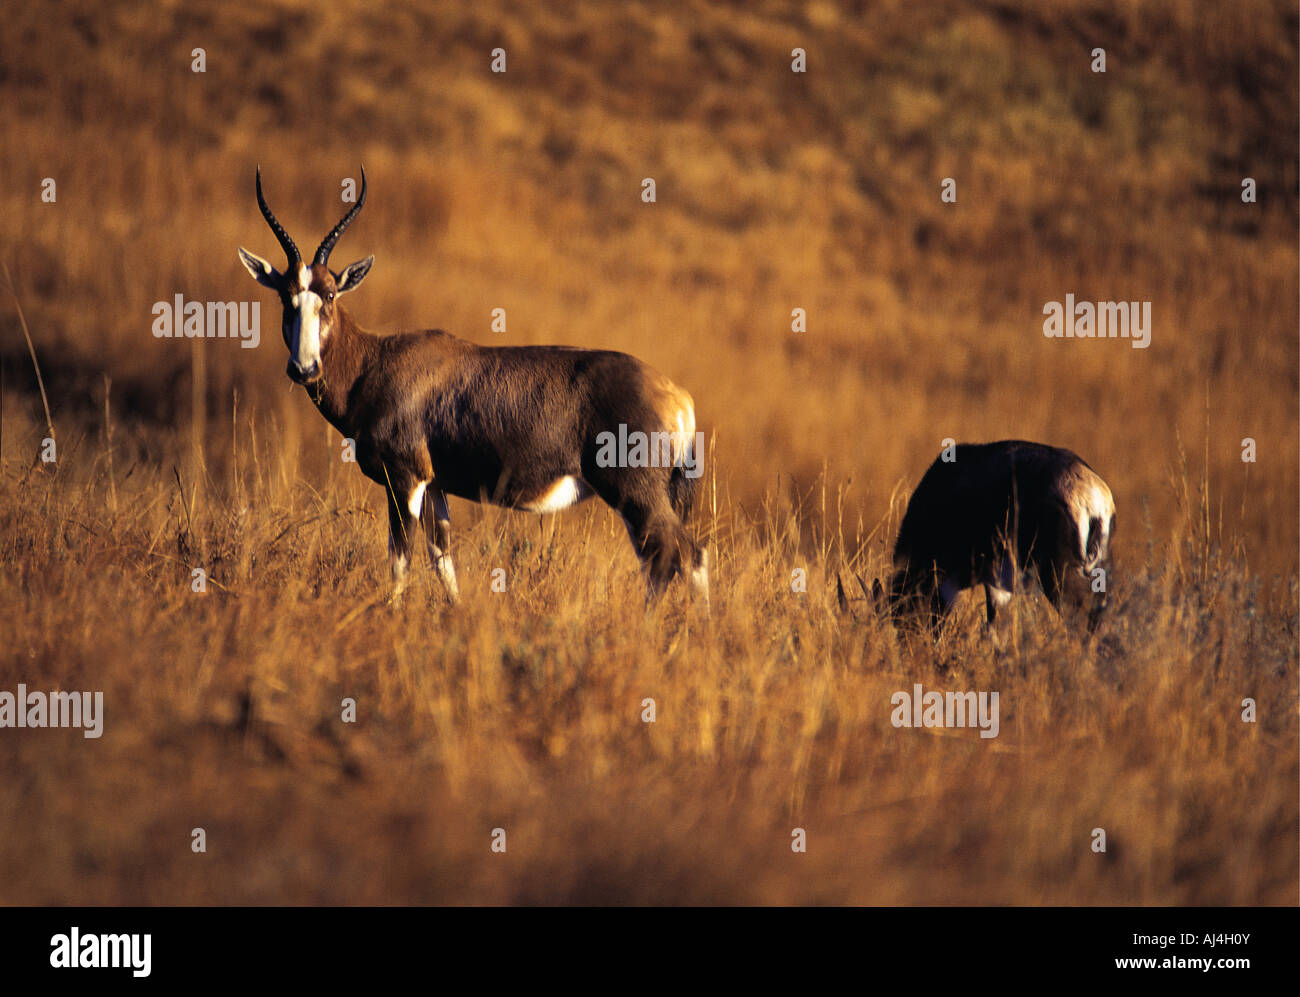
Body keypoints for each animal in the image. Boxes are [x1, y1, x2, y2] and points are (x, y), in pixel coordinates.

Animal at [237, 167, 708, 606]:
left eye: (331, 295)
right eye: (286, 296)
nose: (304, 368)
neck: (376, 361)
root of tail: (679, 397)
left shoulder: (404, 479)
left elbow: (400, 558)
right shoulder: (434, 487)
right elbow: (442, 559)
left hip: (635, 493)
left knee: (677, 554)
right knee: (677, 557)